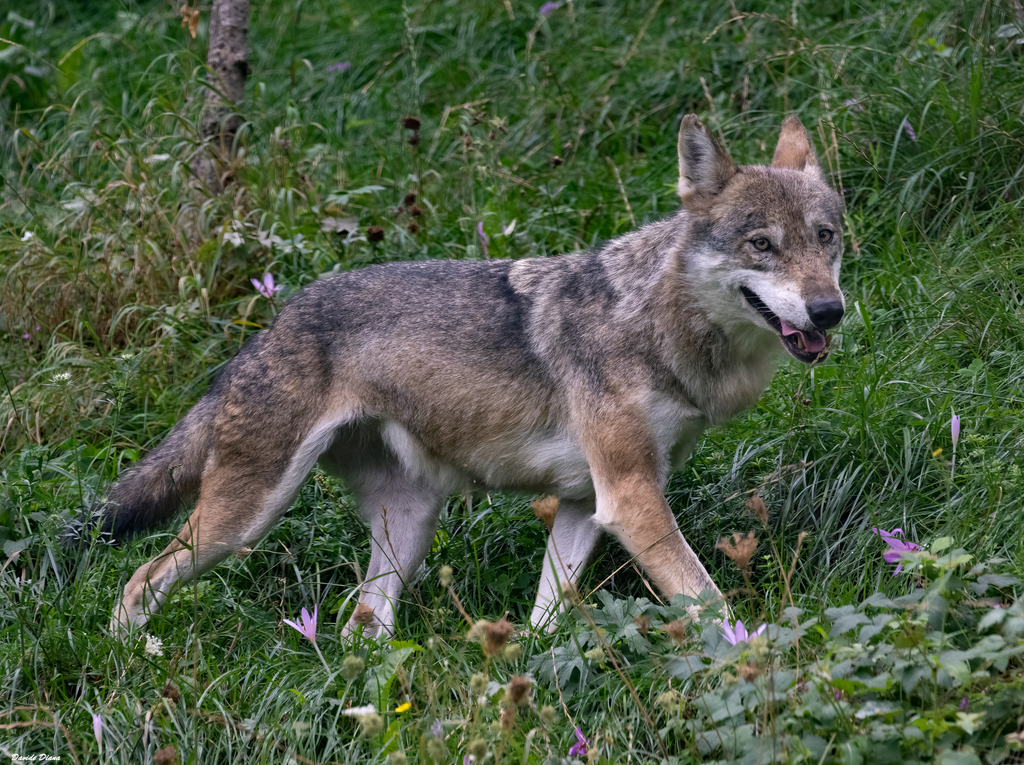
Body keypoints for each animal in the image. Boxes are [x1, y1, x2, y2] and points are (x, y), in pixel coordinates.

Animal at [74, 115, 844, 638]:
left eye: (826, 238)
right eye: (762, 244)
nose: (829, 310)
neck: (656, 320)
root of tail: (272, 325)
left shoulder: (583, 501)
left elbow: (547, 616)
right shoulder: (630, 497)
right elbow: (708, 597)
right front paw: (759, 651)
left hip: (409, 526)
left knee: (362, 628)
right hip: (246, 518)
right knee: (139, 578)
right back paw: (131, 658)